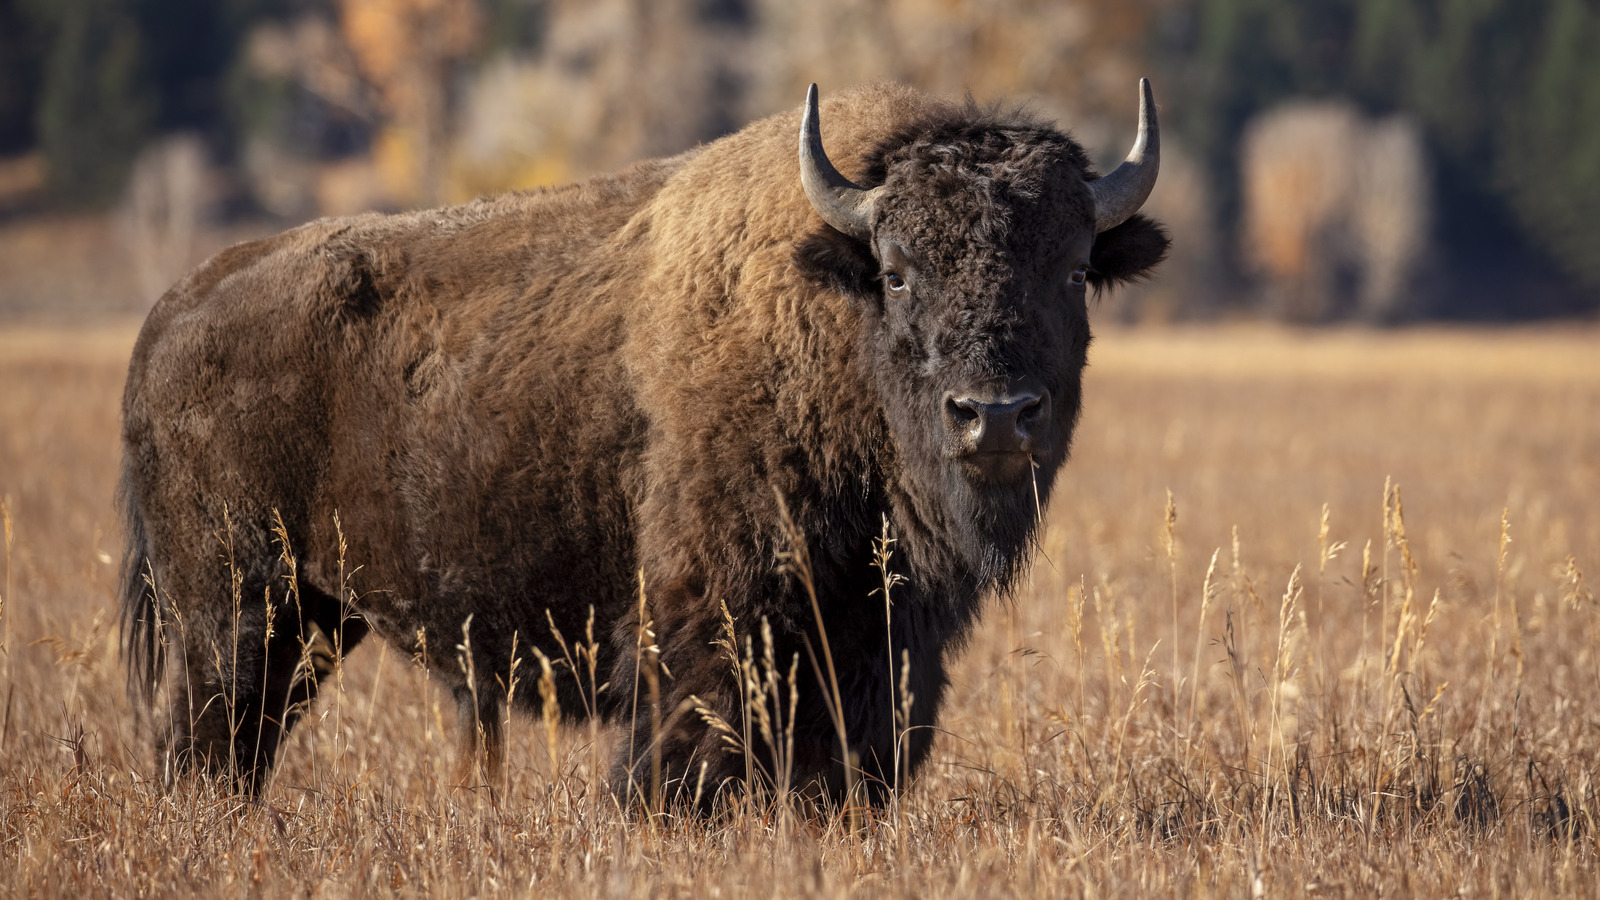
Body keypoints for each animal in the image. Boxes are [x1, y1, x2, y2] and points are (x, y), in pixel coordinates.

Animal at [119, 81, 1168, 806]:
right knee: (205, 745)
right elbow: (683, 759)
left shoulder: (877, 644)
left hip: (312, 619)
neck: (829, 314)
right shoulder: (709, 623)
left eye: (1074, 269)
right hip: (236, 614)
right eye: (901, 272)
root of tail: (172, 310)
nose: (994, 415)